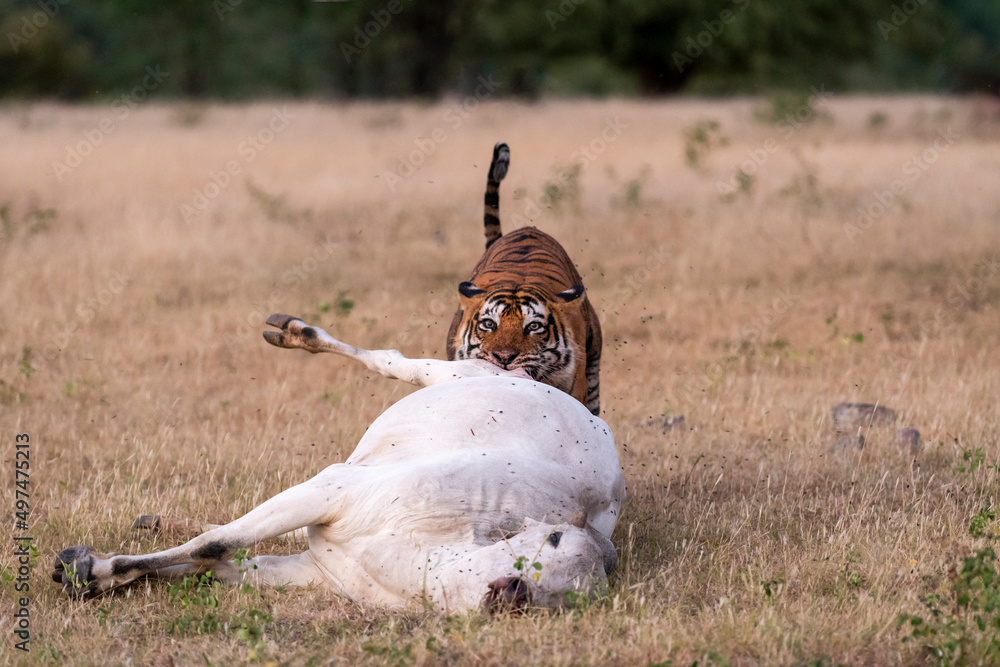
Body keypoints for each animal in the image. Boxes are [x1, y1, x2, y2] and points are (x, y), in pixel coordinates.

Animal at [52, 314, 625, 613]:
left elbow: (209, 561)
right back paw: (295, 332)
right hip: (457, 373)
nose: (512, 595)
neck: (406, 553)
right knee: (393, 361)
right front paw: (88, 567)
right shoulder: (331, 490)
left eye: (573, 593)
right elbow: (214, 544)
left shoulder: (310, 570)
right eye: (555, 538)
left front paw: (96, 571)